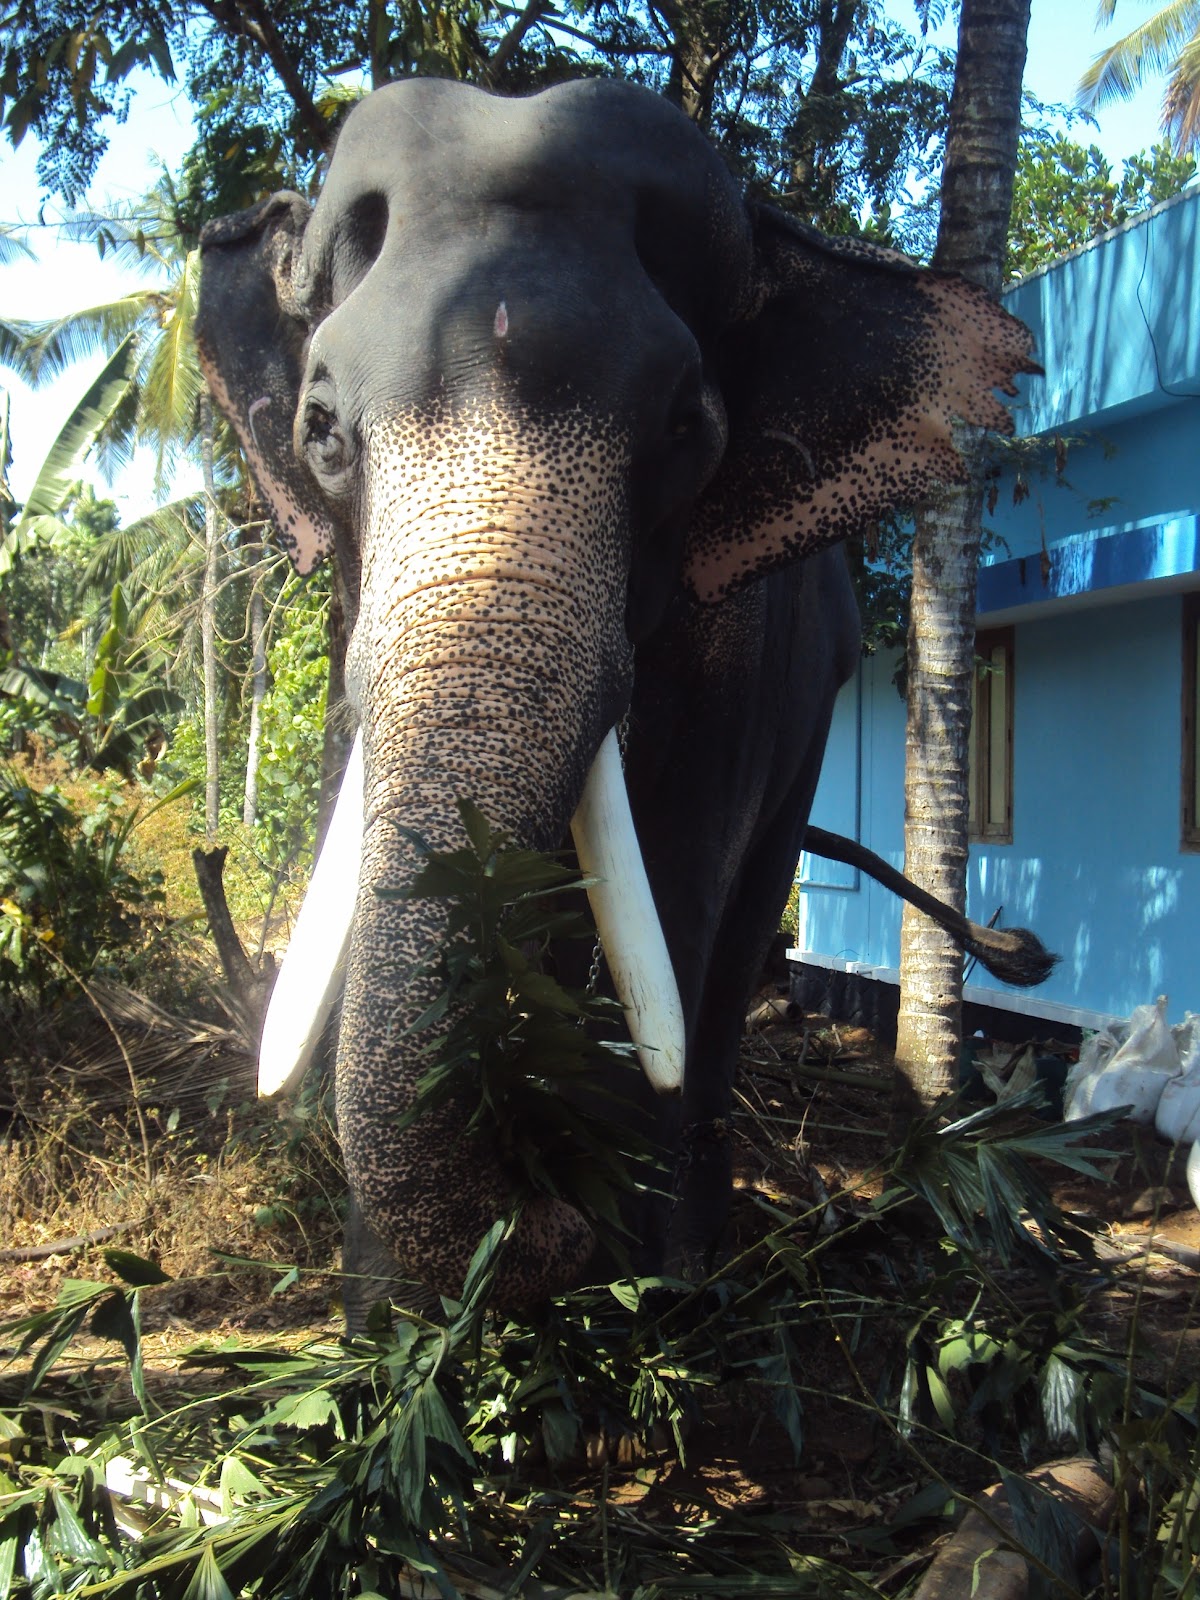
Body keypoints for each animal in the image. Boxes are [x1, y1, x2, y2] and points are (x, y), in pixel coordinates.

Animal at [196, 75, 1046, 1321]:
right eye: (320, 431)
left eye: (687, 429)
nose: (541, 1214)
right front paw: (393, 1339)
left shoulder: (737, 665)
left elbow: (669, 917)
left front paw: (616, 1311)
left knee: (729, 957)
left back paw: (697, 1257)